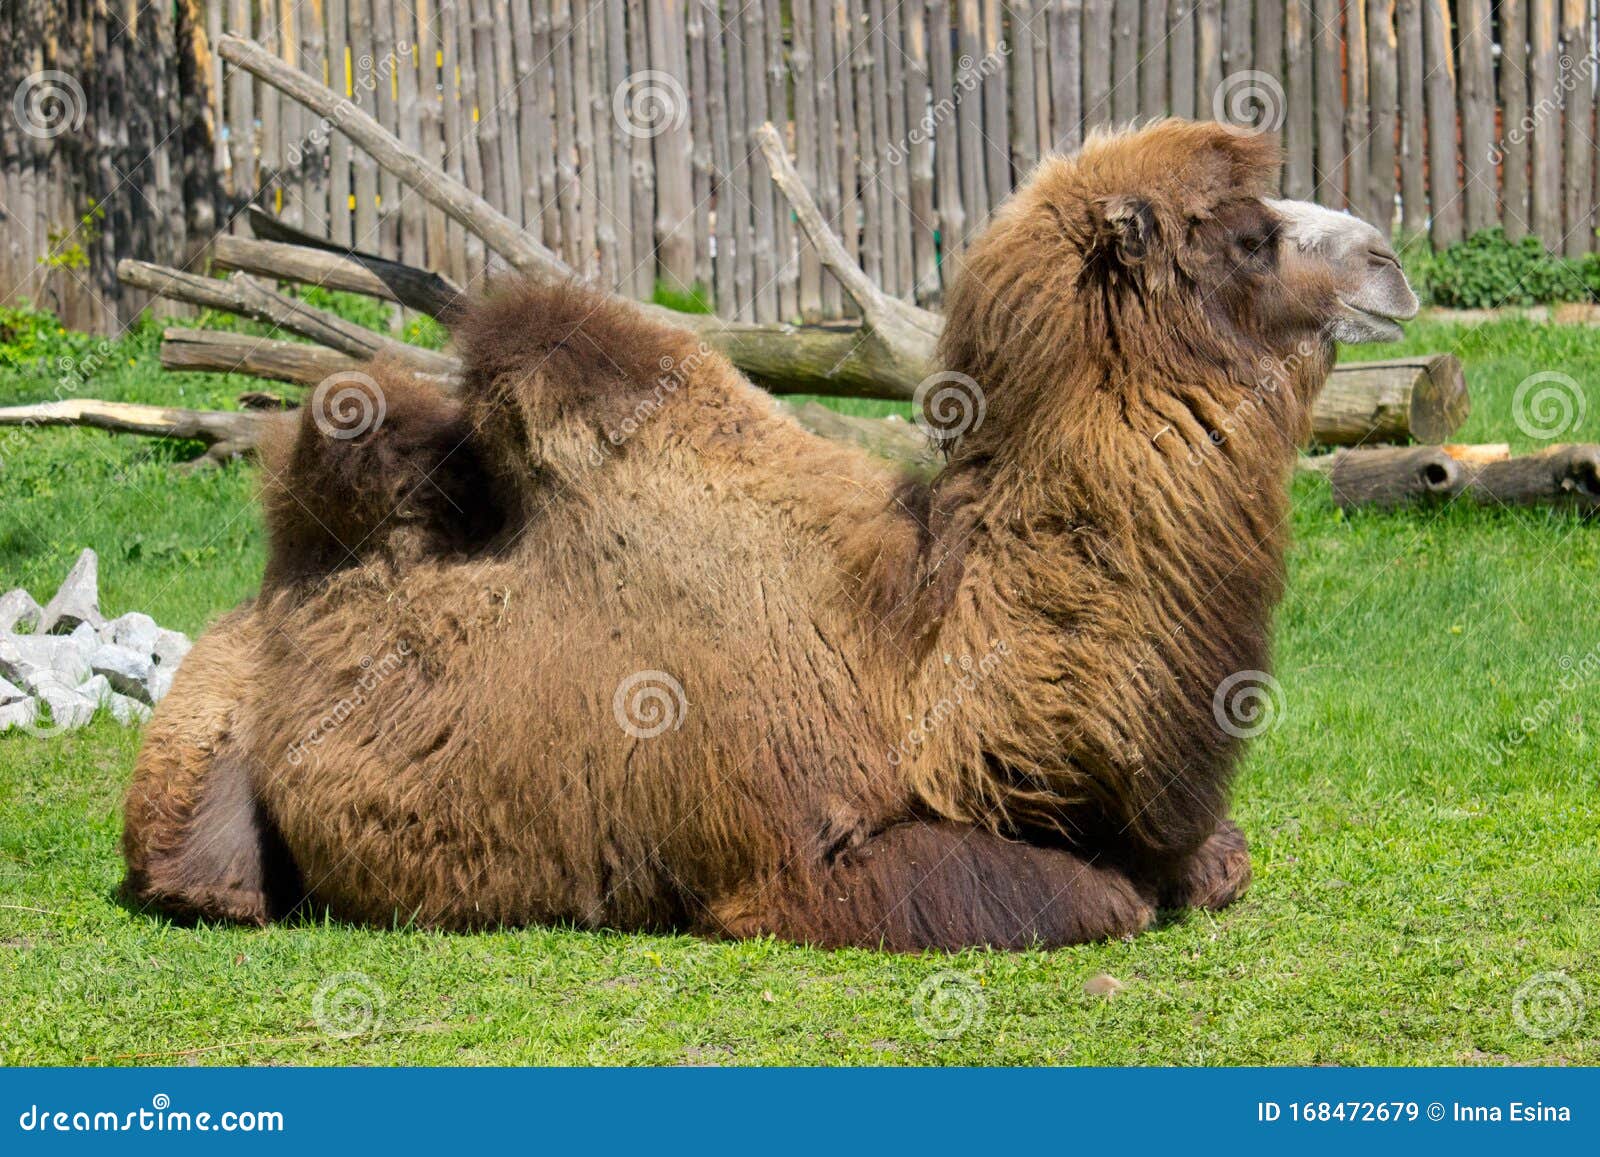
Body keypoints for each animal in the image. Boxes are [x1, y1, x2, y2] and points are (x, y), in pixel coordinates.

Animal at [121, 120, 1417, 950]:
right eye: (1245, 236)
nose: (1391, 263)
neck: (920, 662)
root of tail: (261, 600)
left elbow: (1211, 860)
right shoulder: (799, 860)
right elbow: (1097, 899)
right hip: (197, 747)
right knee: (207, 874)